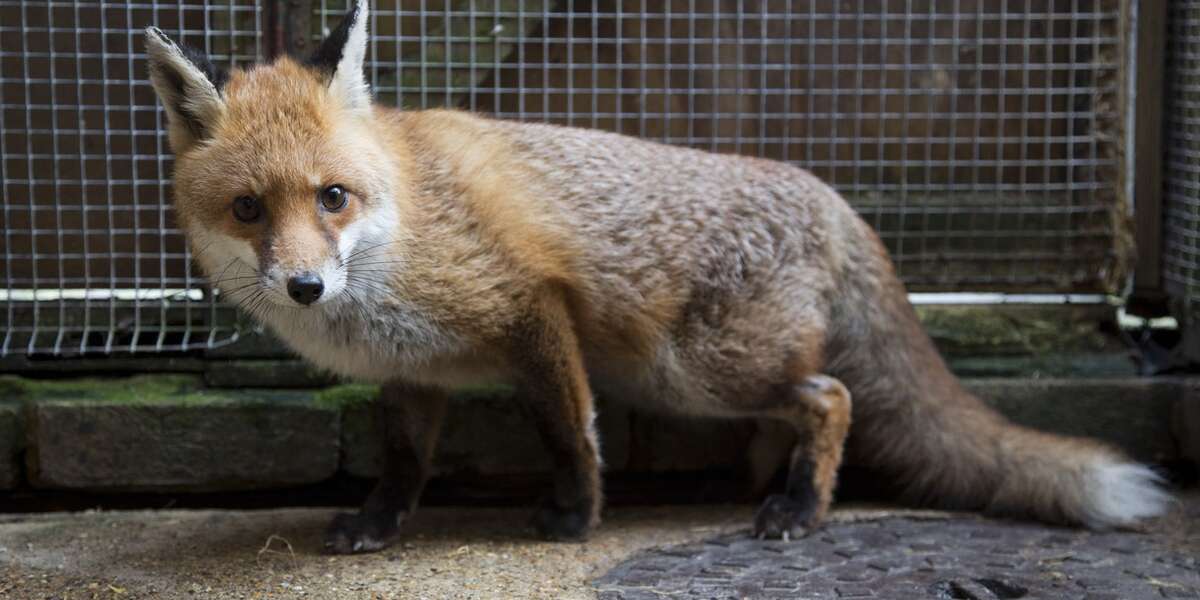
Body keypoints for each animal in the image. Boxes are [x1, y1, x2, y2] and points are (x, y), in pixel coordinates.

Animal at [145, 1, 1169, 554]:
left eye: (332, 197)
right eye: (249, 210)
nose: (305, 288)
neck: (406, 220)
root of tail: (831, 194)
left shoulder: (531, 309)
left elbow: (571, 433)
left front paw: (578, 517)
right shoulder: (414, 374)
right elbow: (403, 462)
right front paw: (379, 523)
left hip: (693, 369)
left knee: (830, 396)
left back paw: (802, 507)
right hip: (698, 378)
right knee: (792, 409)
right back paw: (746, 486)